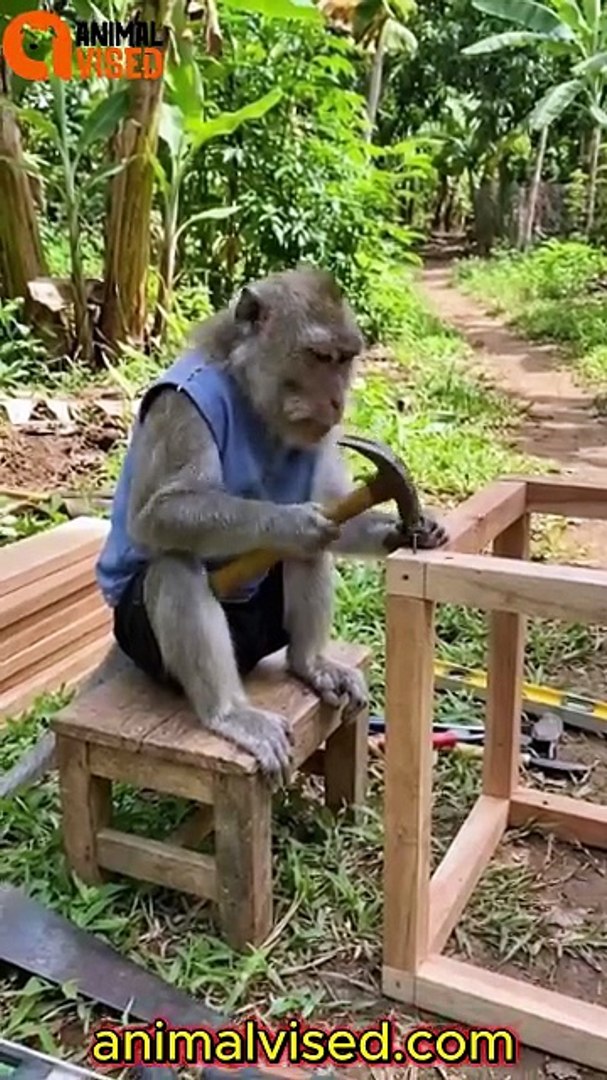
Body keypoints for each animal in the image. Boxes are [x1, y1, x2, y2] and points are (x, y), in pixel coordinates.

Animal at [0, 266, 447, 797]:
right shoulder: (181, 410)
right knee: (174, 568)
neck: (248, 393)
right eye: (320, 357)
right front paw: (296, 521)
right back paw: (228, 713)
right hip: (140, 639)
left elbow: (335, 509)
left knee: (307, 556)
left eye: (345, 359)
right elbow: (159, 515)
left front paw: (410, 529)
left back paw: (307, 663)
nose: (338, 400)